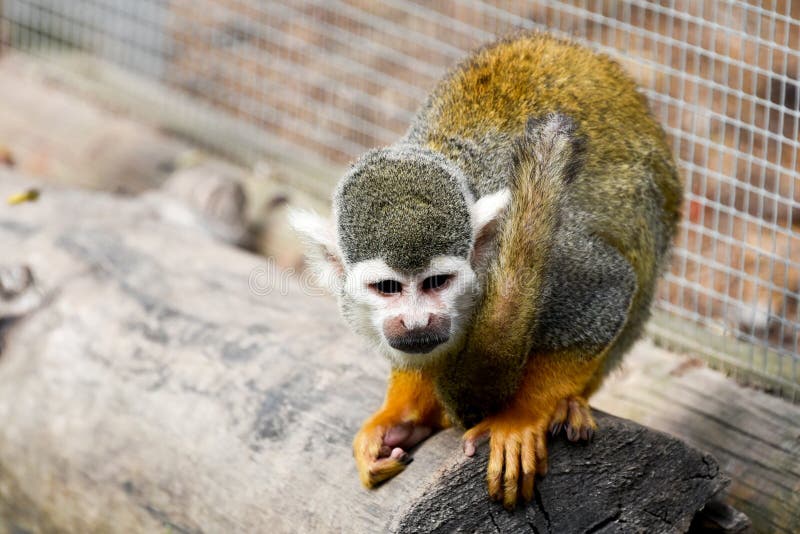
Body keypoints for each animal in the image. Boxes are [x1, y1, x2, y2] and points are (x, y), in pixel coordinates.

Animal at [291, 32, 682, 510]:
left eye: (437, 282)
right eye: (387, 288)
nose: (416, 322)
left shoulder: (557, 259)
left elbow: (607, 286)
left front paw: (520, 415)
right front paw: (402, 415)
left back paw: (568, 401)